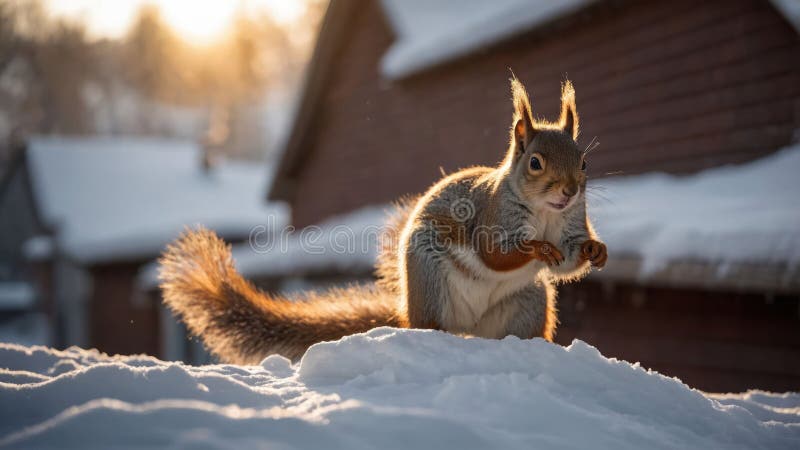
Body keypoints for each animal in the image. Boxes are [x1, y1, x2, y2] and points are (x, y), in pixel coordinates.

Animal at [159, 78, 607, 364]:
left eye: (584, 162)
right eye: (535, 163)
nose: (569, 191)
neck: (547, 212)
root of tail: (468, 328)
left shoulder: (571, 224)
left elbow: (569, 259)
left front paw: (595, 250)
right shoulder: (491, 217)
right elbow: (495, 254)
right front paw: (538, 248)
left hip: (529, 302)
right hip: (431, 280)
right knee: (431, 323)